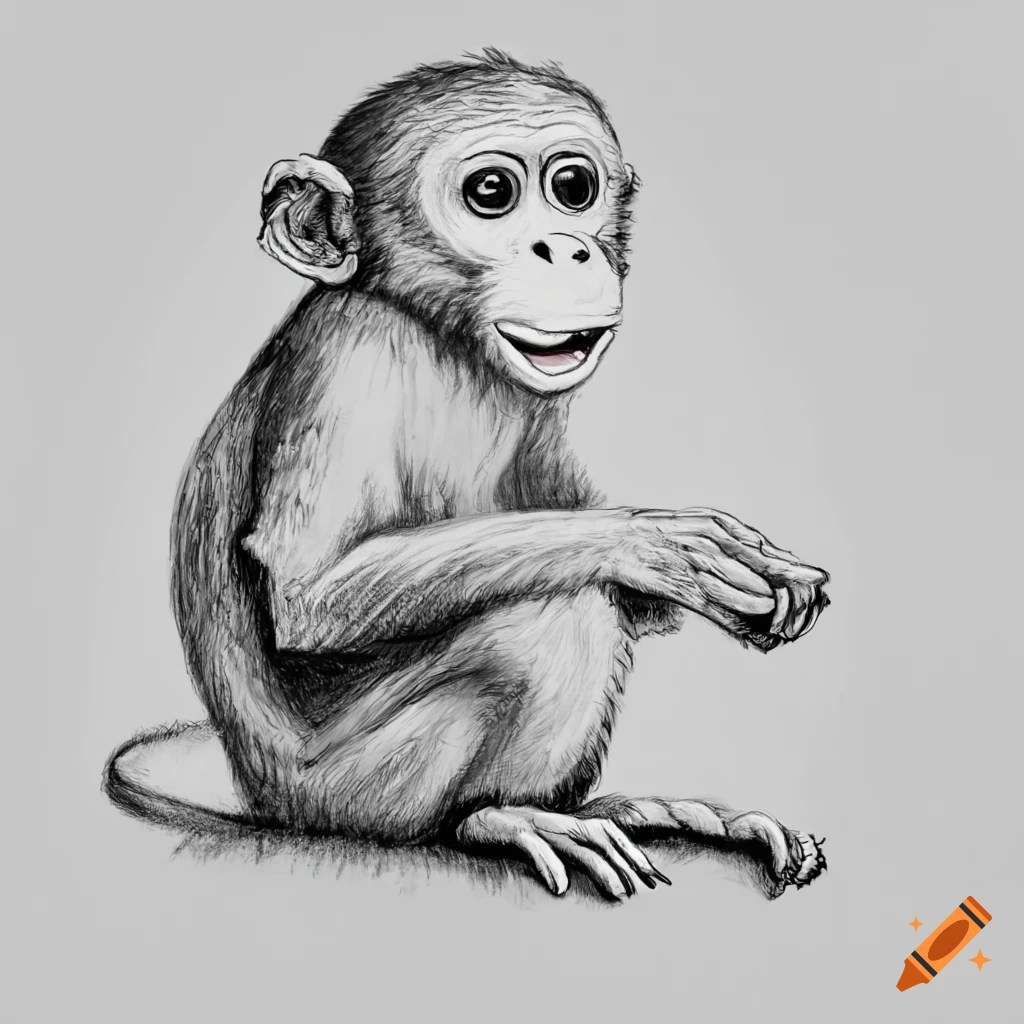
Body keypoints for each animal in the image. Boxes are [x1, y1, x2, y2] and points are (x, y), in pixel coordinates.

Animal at [147, 50, 831, 901]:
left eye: (573, 186)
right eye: (493, 194)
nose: (566, 247)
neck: (438, 333)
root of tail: (256, 791)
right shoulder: (348, 355)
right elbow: (314, 595)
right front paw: (655, 542)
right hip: (350, 788)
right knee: (551, 616)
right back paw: (497, 816)